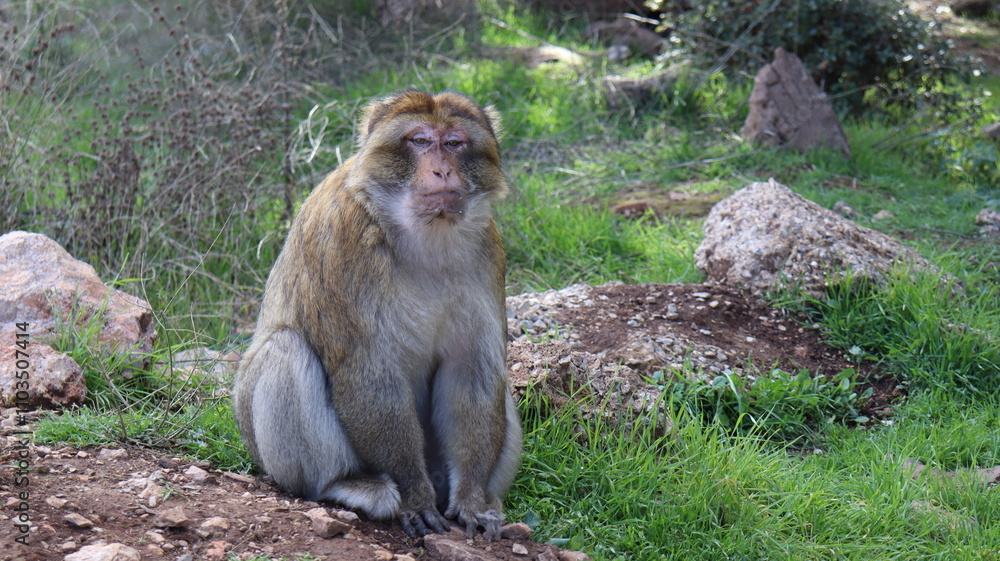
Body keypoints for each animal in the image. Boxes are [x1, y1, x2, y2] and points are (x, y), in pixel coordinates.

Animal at [233, 91, 522, 541]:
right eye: (419, 141)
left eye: (455, 143)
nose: (442, 170)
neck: (423, 234)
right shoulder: (345, 237)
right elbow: (367, 371)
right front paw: (415, 496)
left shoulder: (488, 250)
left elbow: (472, 370)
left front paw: (472, 500)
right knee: (286, 349)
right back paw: (344, 485)